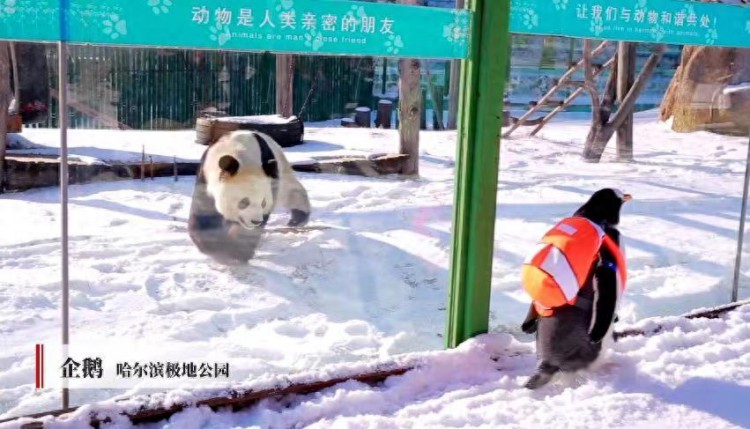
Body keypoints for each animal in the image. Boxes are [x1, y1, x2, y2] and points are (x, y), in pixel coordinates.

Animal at [188, 129, 312, 262]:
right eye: (244, 202)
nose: (255, 221)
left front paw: (238, 251)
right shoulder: (204, 177)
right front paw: (210, 245)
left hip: (279, 170)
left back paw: (297, 219)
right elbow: (204, 212)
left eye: (263, 203)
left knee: (291, 192)